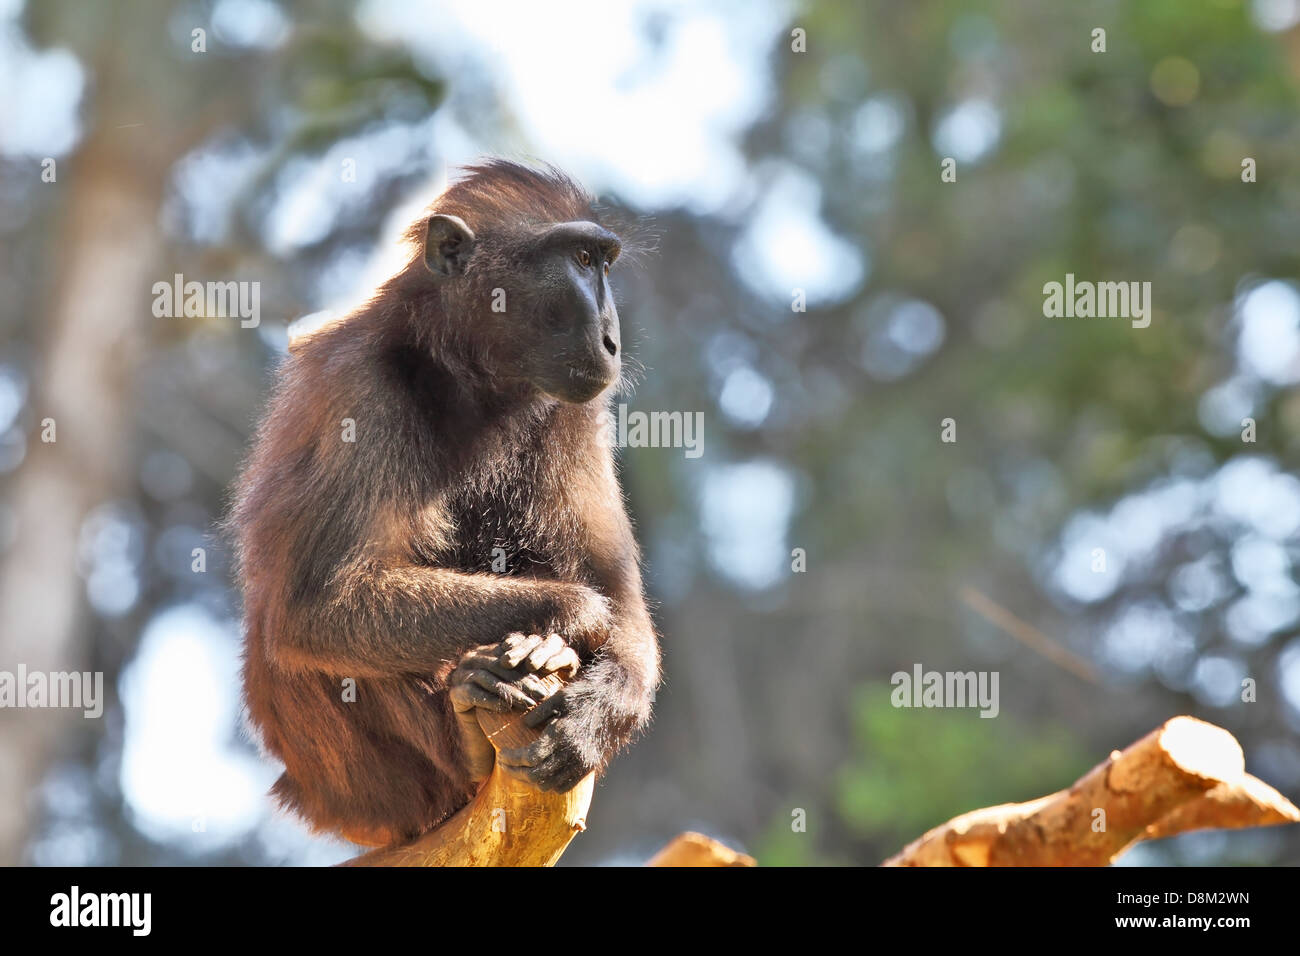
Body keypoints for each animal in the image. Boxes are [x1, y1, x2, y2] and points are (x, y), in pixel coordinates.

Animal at [230, 160, 660, 847]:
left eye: (602, 262)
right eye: (580, 259)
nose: (612, 340)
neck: (465, 370)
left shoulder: (576, 409)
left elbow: (621, 598)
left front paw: (594, 711)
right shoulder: (362, 389)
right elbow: (316, 608)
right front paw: (573, 616)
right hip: (359, 787)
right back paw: (470, 729)